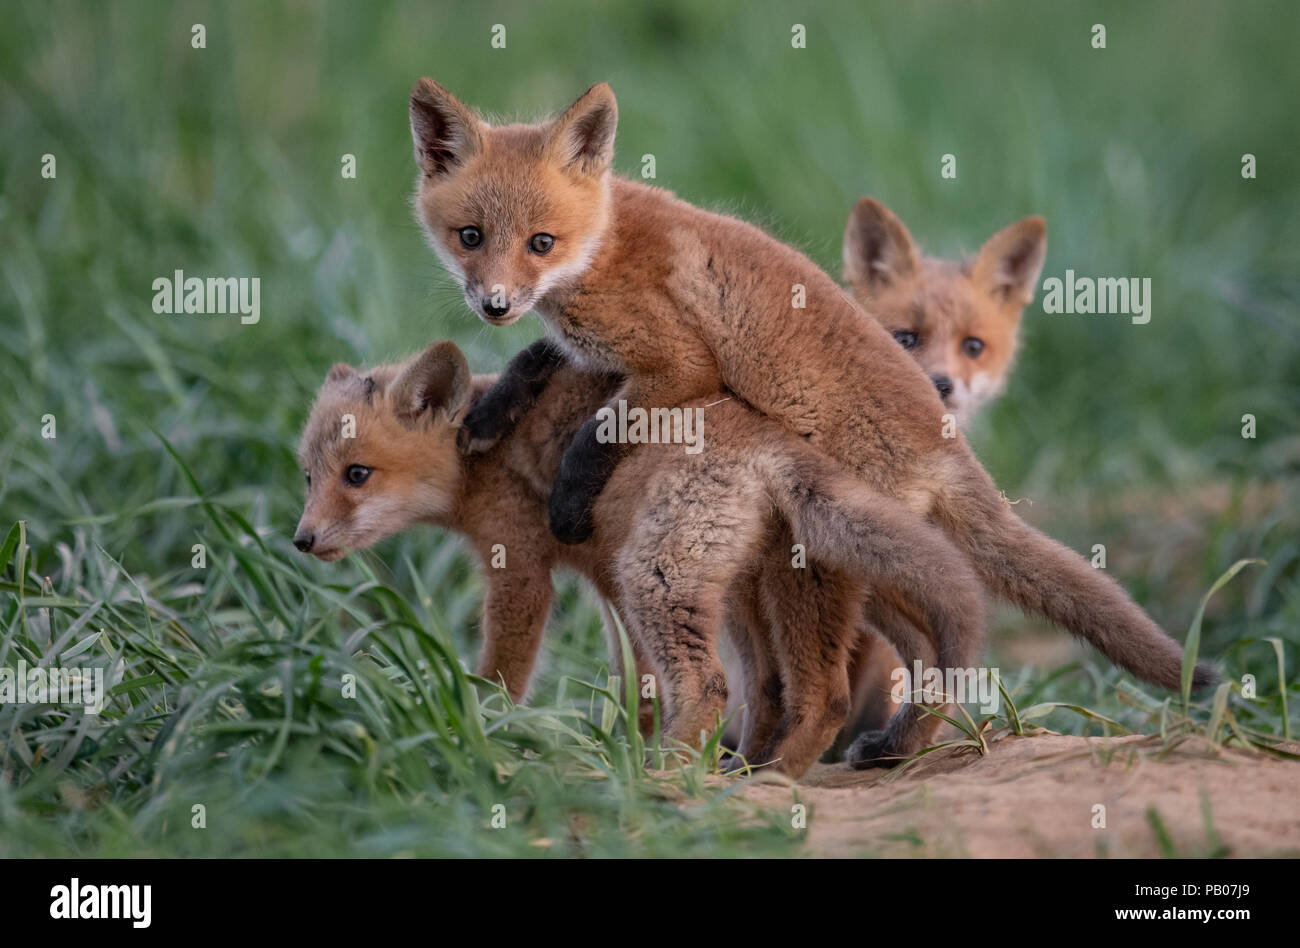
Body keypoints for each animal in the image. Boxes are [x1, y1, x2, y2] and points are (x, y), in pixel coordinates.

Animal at [294, 340, 985, 777]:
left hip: (661, 576)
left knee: (733, 688)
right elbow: (637, 684)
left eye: (357, 475)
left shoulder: (522, 571)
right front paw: (621, 744)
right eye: (307, 477)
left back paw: (696, 774)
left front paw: (480, 729)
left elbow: (504, 676)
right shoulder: (603, 579)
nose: (301, 541)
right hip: (740, 585)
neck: (482, 454)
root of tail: (769, 438)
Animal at [407, 78, 1216, 766]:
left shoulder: (678, 365)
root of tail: (947, 442)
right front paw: (488, 412)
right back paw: (888, 747)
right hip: (871, 568)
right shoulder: (600, 353)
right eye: (470, 236)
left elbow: (594, 434)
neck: (603, 239)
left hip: (827, 559)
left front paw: (568, 499)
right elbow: (538, 359)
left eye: (540, 242)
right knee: (928, 650)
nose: (495, 305)